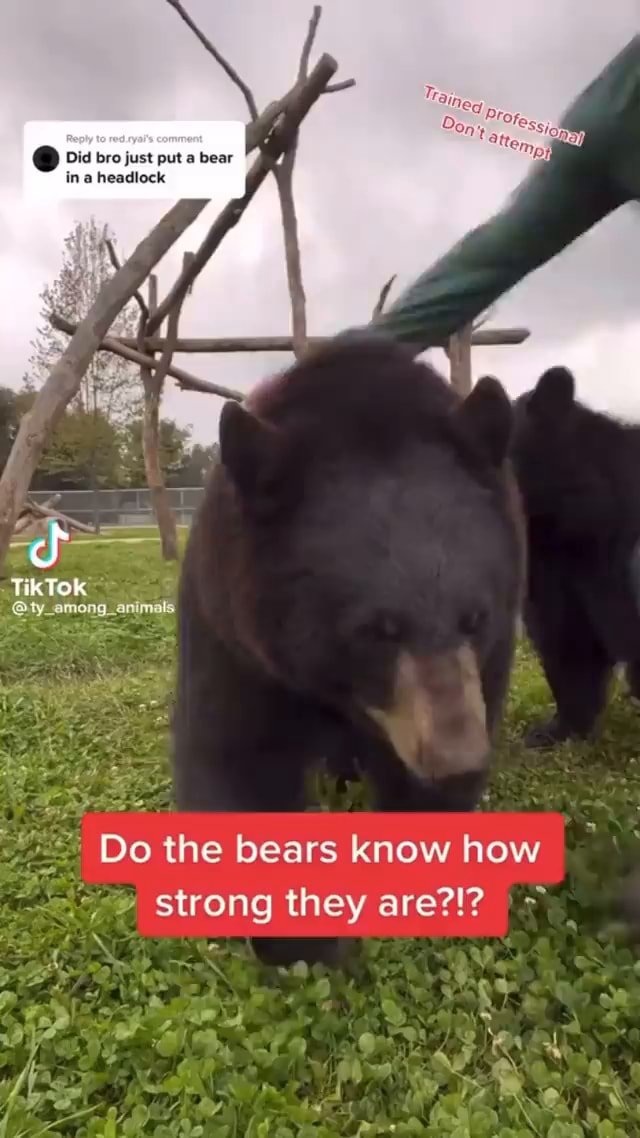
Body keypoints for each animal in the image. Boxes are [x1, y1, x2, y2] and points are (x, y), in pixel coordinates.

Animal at [171, 331, 525, 968]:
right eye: (377, 629)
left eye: (474, 617)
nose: (458, 765)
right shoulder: (232, 633)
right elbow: (233, 759)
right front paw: (310, 941)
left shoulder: (490, 657)